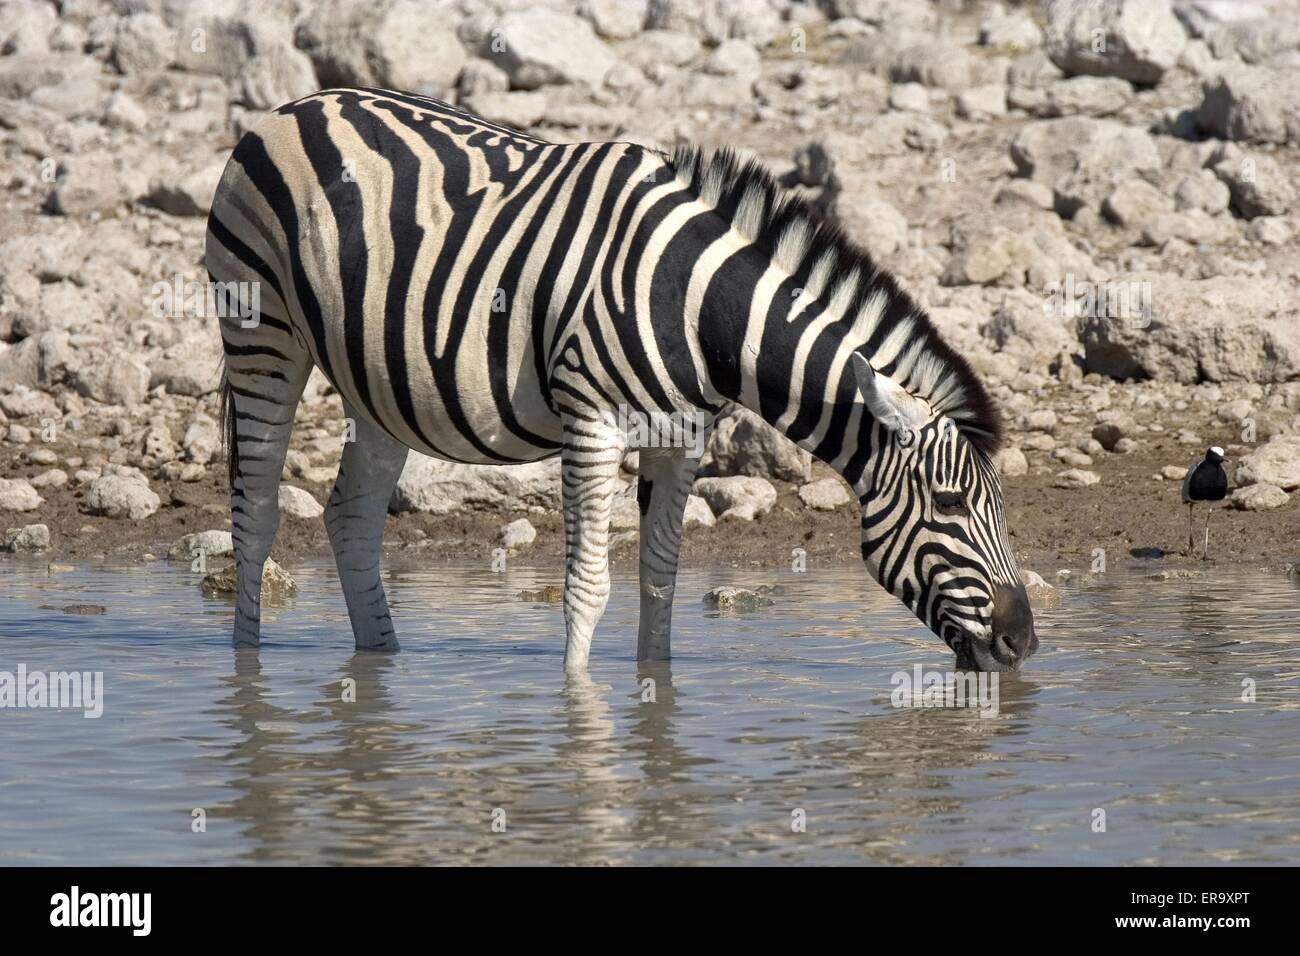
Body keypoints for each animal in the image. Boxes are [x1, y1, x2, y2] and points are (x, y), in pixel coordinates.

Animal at [204, 87, 1038, 674]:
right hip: (262, 332)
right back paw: (246, 673)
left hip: (376, 381)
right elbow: (588, 585)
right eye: (952, 502)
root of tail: (298, 104)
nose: (1024, 642)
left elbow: (661, 579)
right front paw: (584, 719)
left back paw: (382, 661)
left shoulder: (683, 436)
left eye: (998, 505)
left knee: (349, 518)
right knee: (255, 515)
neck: (698, 308)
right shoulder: (591, 424)